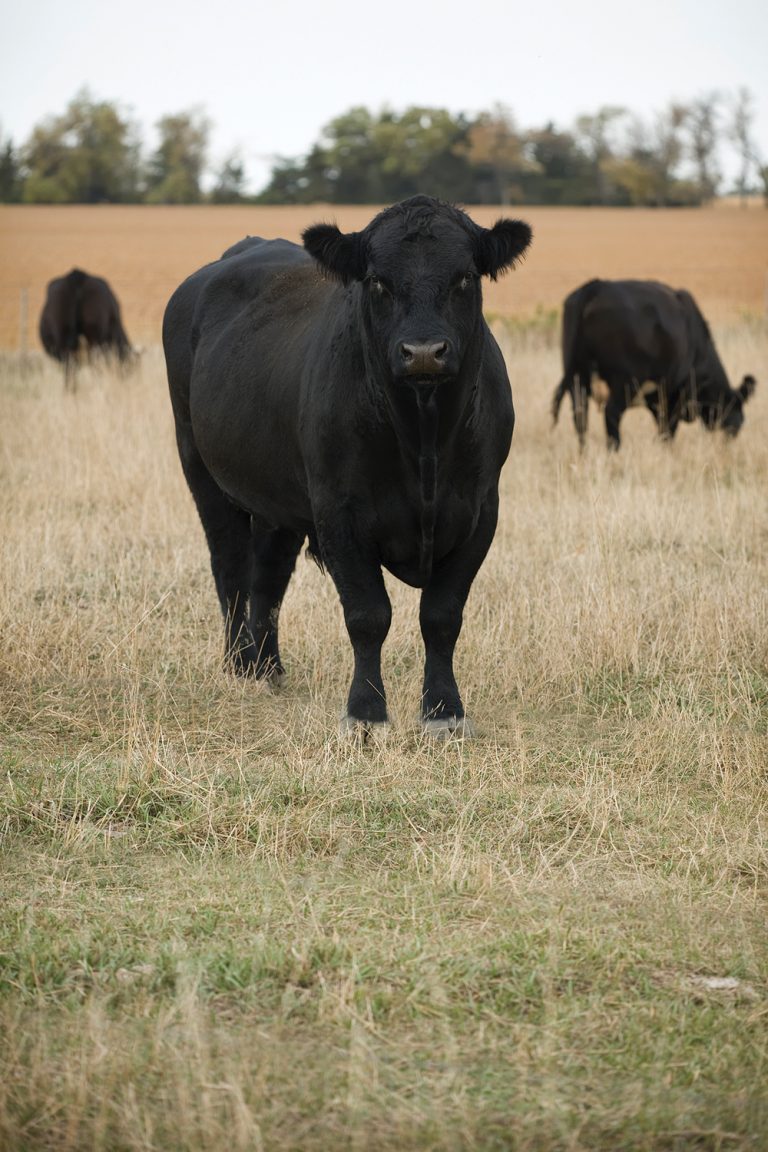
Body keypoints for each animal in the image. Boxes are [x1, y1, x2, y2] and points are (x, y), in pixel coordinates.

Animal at [163, 195, 532, 738]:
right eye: (377, 280)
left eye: (465, 276)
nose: (424, 352)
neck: (423, 438)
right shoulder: (341, 514)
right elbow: (368, 615)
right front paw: (366, 713)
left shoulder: (480, 512)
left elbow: (442, 615)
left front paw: (444, 712)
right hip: (202, 470)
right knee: (230, 569)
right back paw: (239, 665)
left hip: (279, 503)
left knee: (268, 578)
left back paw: (268, 667)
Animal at [551, 279, 756, 450]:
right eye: (737, 420)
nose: (729, 442)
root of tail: (596, 285)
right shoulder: (674, 395)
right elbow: (668, 430)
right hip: (624, 383)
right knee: (611, 415)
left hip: (576, 379)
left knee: (580, 418)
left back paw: (583, 453)